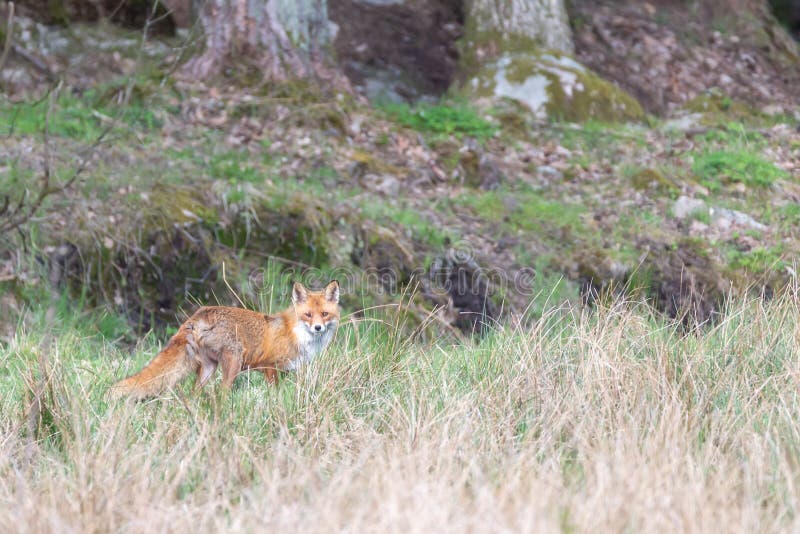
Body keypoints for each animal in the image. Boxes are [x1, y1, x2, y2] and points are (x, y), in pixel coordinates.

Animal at [110, 280, 340, 400]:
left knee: (194, 394)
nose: (318, 327)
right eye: (308, 315)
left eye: (325, 314)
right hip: (233, 364)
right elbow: (275, 395)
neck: (296, 333)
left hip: (208, 368)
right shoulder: (270, 368)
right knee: (222, 392)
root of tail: (199, 314)